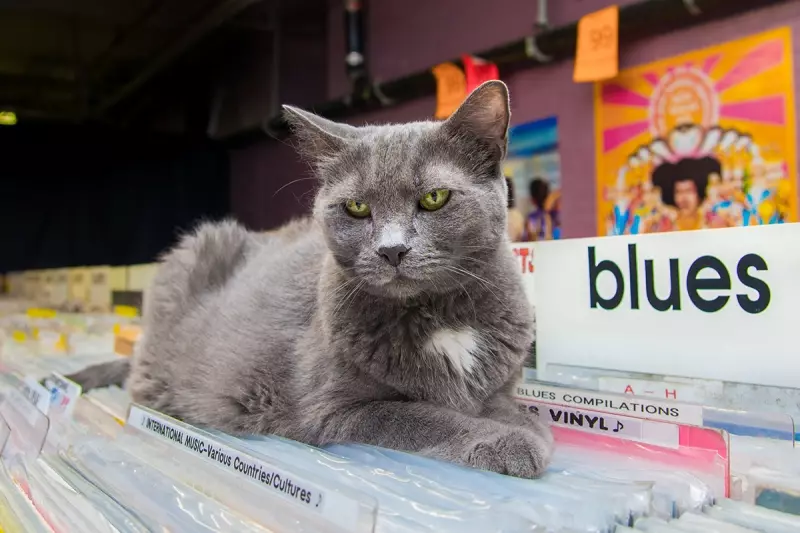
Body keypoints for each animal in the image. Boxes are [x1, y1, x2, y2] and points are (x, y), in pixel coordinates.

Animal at [67, 80, 552, 478]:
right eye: (356, 207)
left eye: (434, 198)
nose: (391, 249)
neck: (440, 316)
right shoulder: (333, 409)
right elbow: (421, 416)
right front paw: (509, 439)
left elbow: (496, 399)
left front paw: (523, 421)